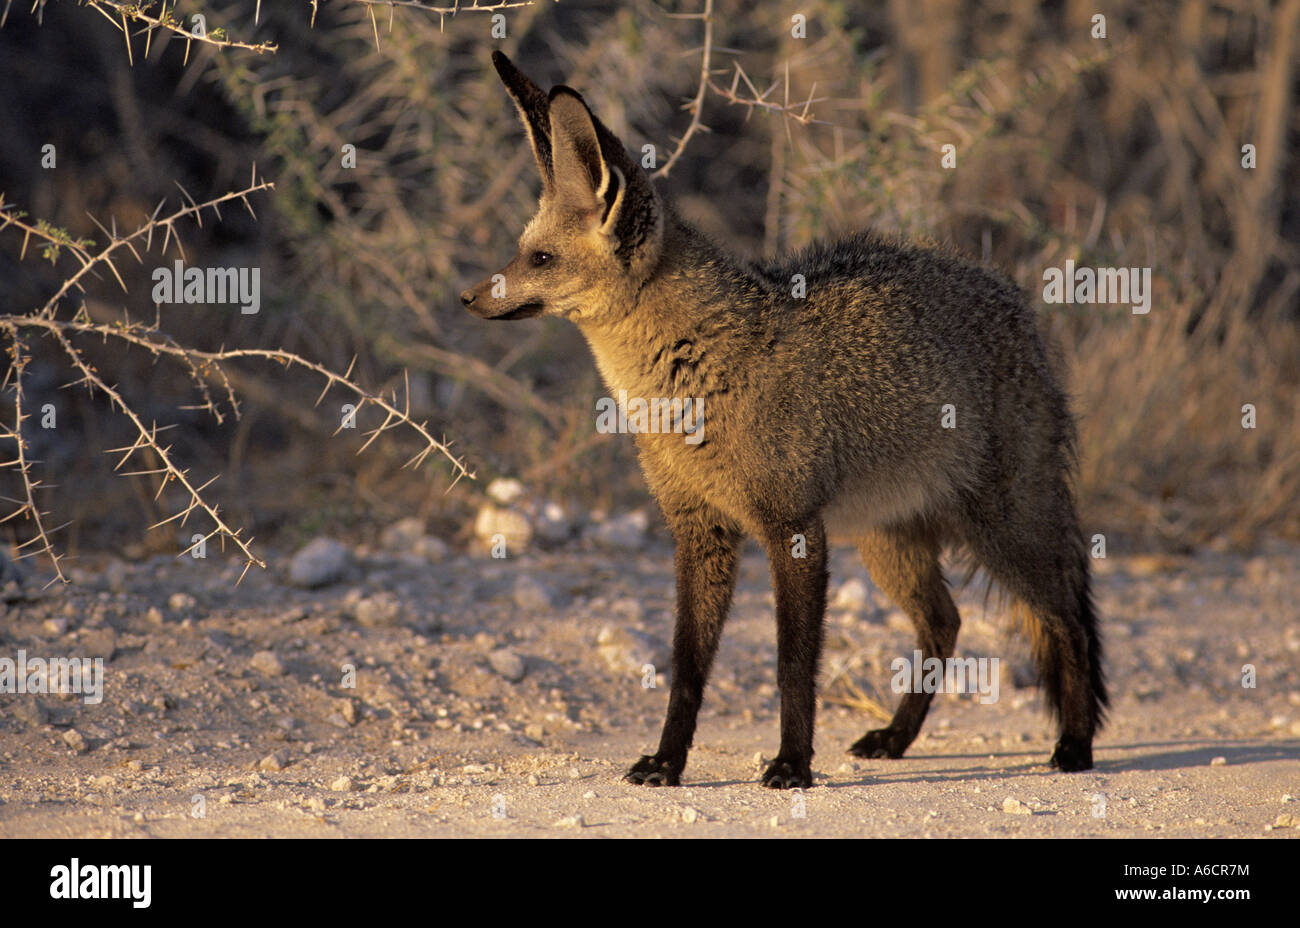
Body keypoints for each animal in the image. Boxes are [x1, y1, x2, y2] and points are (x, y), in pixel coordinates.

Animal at [461, 51, 1107, 789]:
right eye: (521, 251)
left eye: (539, 259)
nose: (467, 298)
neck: (690, 378)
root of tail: (1016, 302)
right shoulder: (700, 532)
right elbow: (687, 667)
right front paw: (667, 761)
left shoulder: (792, 529)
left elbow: (793, 665)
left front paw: (793, 764)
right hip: (889, 543)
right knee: (946, 623)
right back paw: (896, 739)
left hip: (1003, 532)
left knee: (1066, 621)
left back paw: (1075, 746)